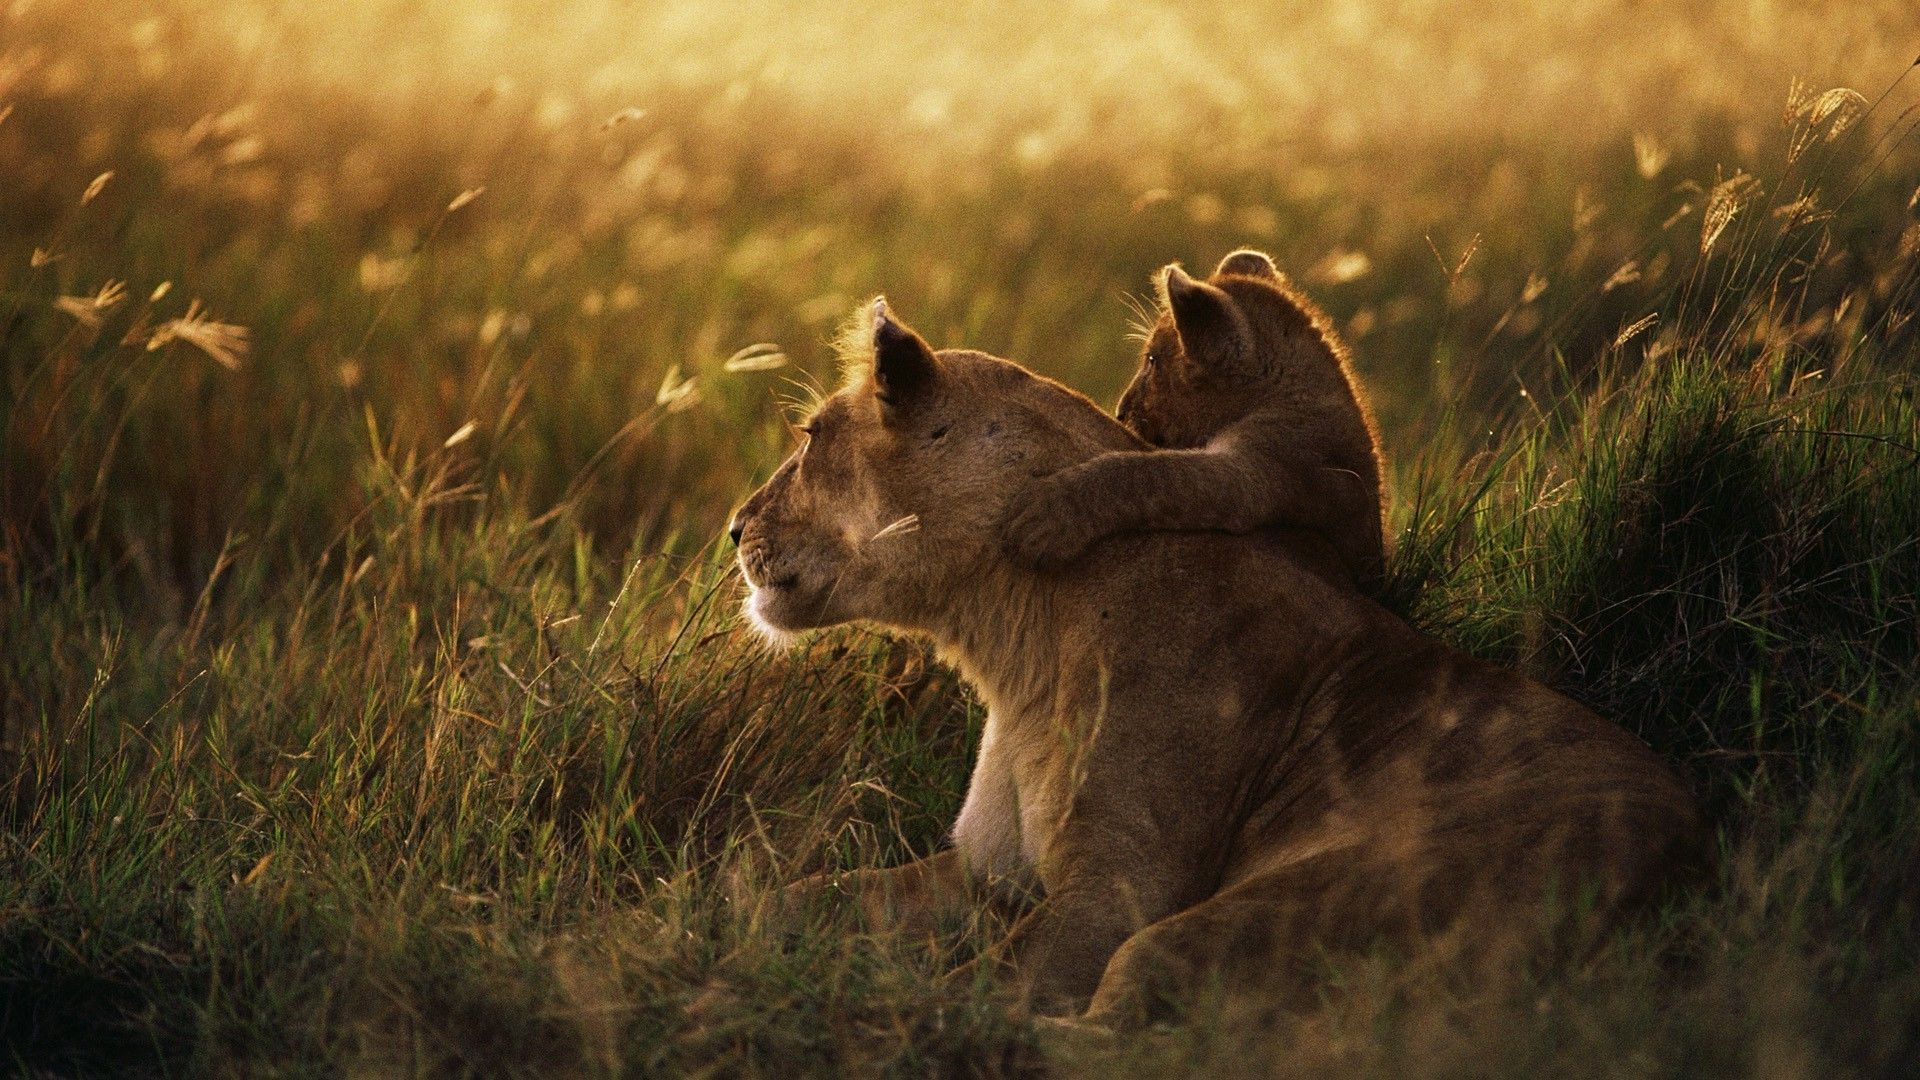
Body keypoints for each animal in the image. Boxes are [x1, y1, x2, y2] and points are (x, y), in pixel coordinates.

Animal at [729, 300, 1700, 1024]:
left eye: (810, 436)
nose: (735, 528)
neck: (1012, 639)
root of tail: (1697, 863)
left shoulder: (1120, 889)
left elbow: (980, 990)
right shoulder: (984, 870)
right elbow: (798, 894)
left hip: (1268, 908)